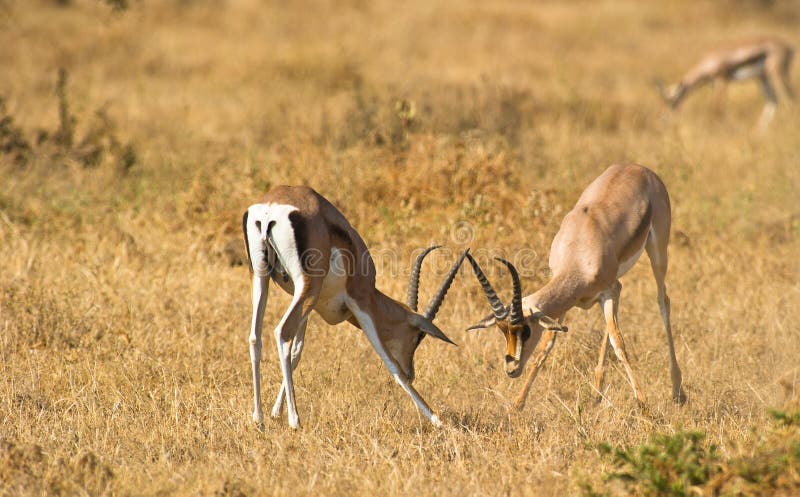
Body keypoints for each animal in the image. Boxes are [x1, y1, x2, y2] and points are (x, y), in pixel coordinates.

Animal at [242, 185, 467, 428]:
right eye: (418, 337)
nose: (412, 372)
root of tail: (270, 208)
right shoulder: (361, 302)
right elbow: (391, 364)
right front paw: (437, 420)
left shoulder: (307, 304)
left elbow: (296, 352)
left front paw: (276, 412)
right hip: (307, 286)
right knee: (282, 332)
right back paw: (295, 421)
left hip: (263, 277)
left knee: (255, 337)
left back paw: (258, 418)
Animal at [466, 164, 685, 410]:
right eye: (503, 330)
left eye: (526, 330)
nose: (511, 369)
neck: (579, 248)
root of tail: (640, 168)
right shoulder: (571, 301)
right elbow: (547, 345)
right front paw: (518, 403)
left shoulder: (608, 291)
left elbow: (619, 344)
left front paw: (644, 405)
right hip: (617, 284)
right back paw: (597, 392)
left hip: (658, 253)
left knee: (662, 301)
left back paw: (678, 392)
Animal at [657, 37, 794, 129]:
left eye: (671, 102)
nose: (662, 117)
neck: (709, 61)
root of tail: (790, 47)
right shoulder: (713, 84)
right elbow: (713, 107)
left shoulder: (721, 80)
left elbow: (718, 108)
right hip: (762, 78)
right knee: (773, 100)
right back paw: (758, 132)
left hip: (777, 74)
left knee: (789, 98)